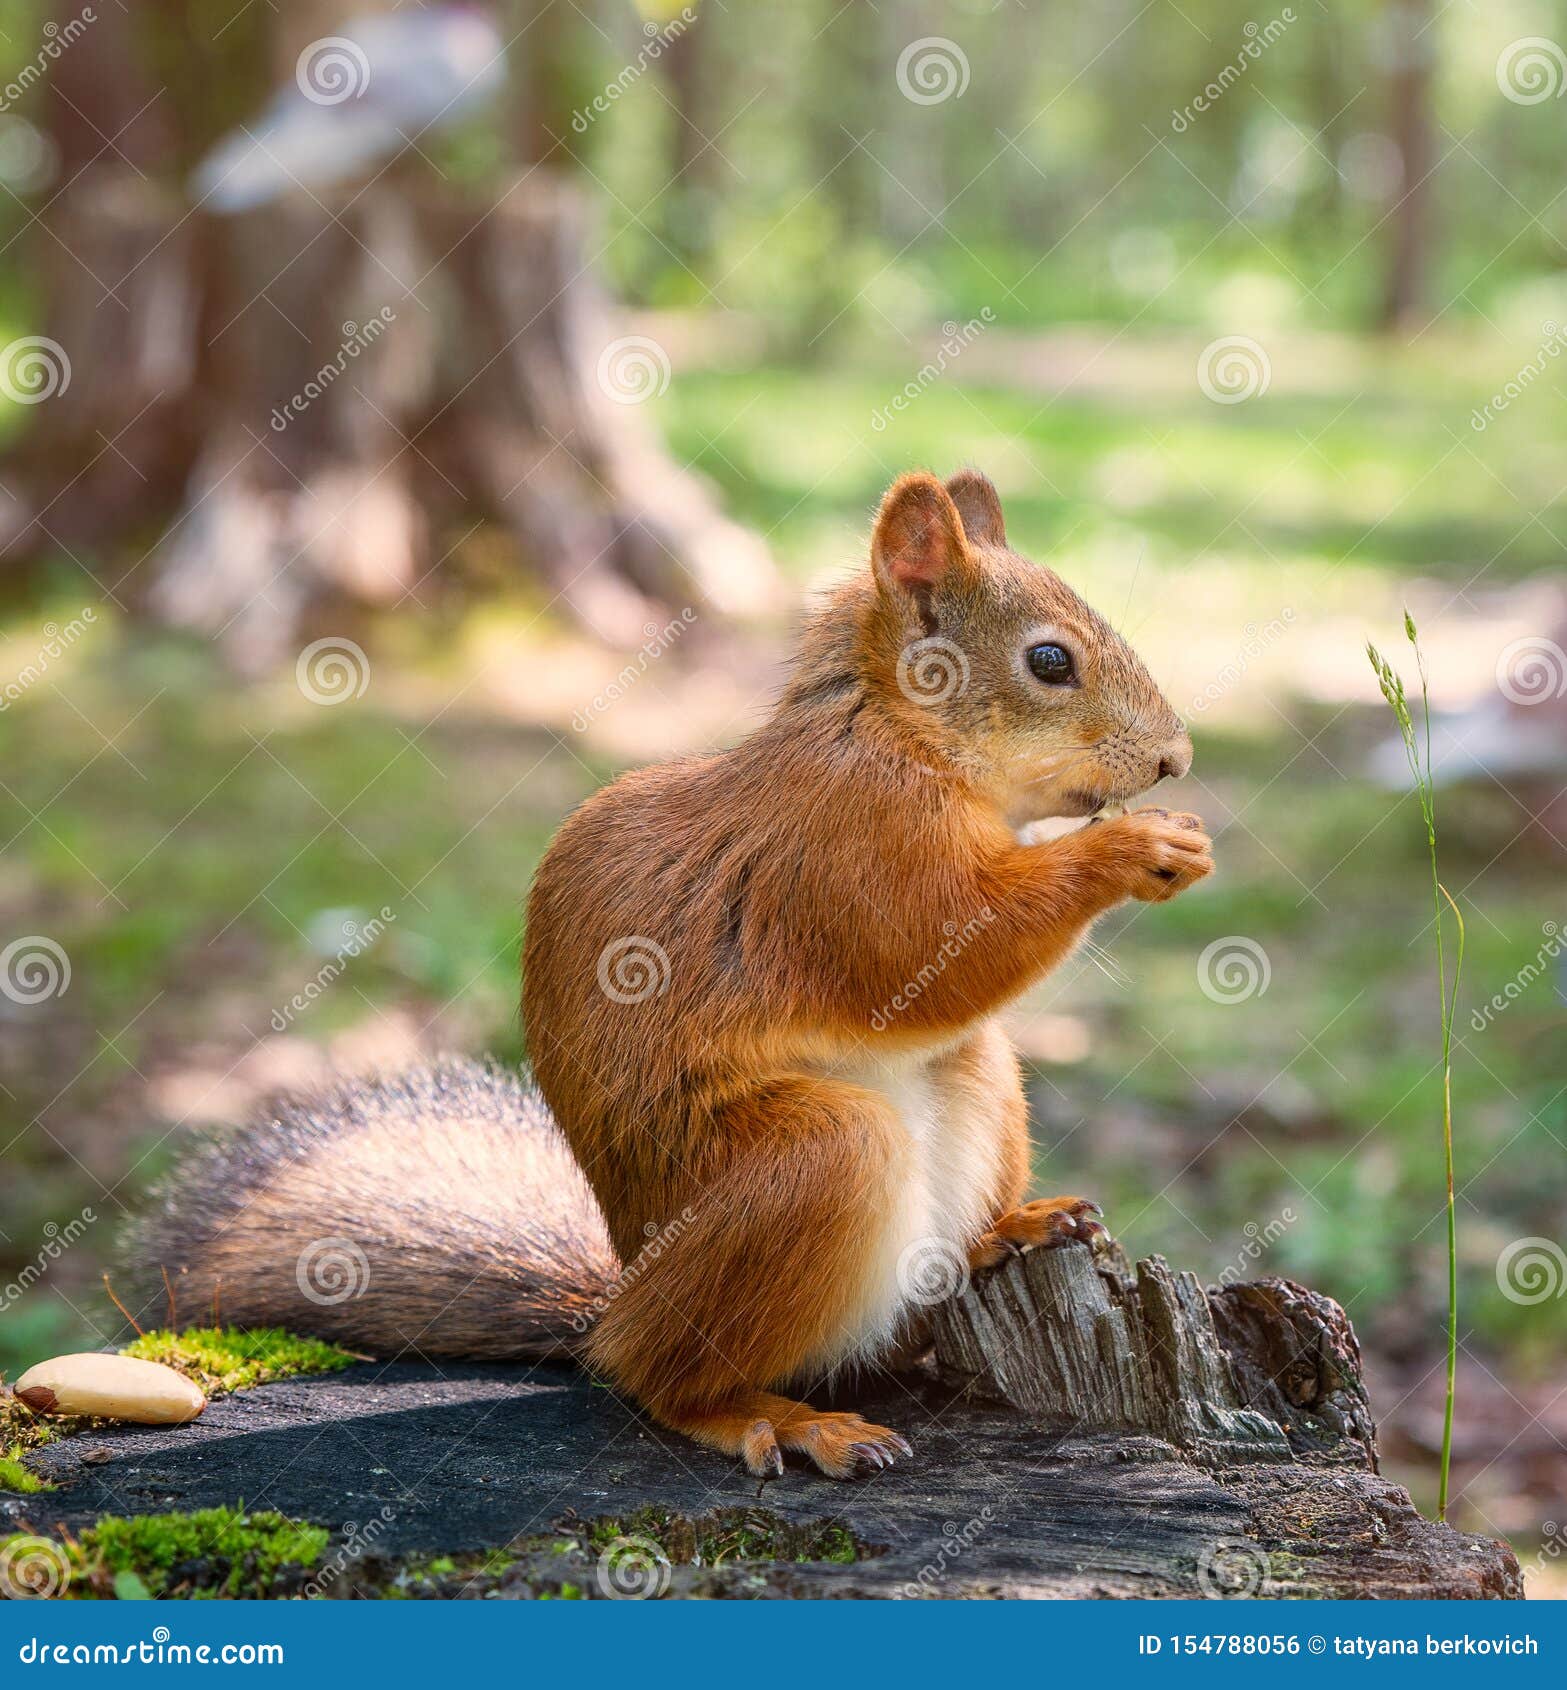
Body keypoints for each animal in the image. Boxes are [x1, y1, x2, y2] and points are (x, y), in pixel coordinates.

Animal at [129, 469, 1211, 1481]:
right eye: (1048, 661)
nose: (1174, 757)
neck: (897, 734)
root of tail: (616, 1297)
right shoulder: (845, 851)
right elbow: (931, 946)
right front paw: (1132, 850)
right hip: (806, 1161)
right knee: (657, 1377)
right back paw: (775, 1417)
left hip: (972, 1077)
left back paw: (1009, 1229)